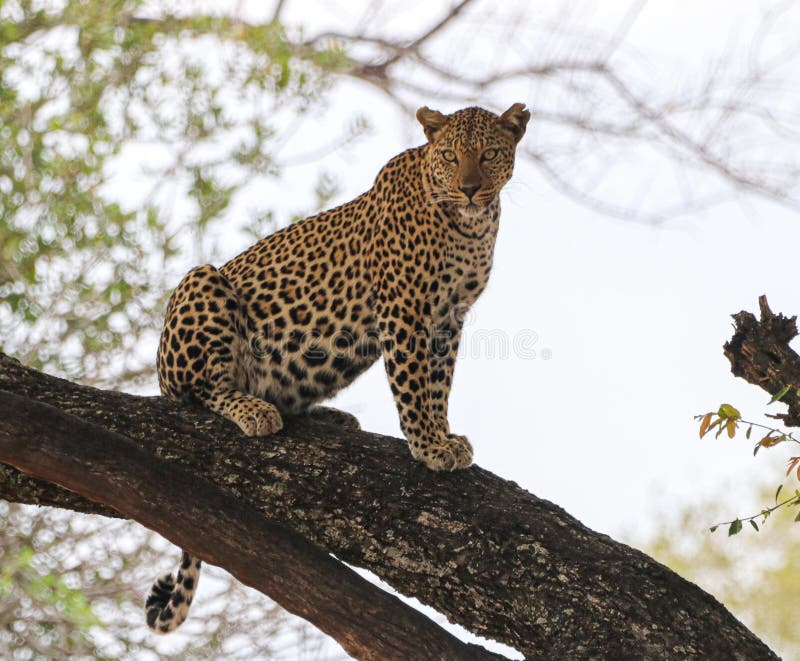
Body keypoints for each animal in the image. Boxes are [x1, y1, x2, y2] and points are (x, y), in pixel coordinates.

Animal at [145, 103, 531, 633]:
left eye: (490, 154)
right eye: (452, 157)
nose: (471, 188)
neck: (470, 226)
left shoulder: (448, 318)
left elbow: (439, 384)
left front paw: (445, 435)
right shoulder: (405, 310)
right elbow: (413, 384)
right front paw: (428, 446)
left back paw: (330, 417)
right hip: (203, 286)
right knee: (202, 389)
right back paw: (253, 409)